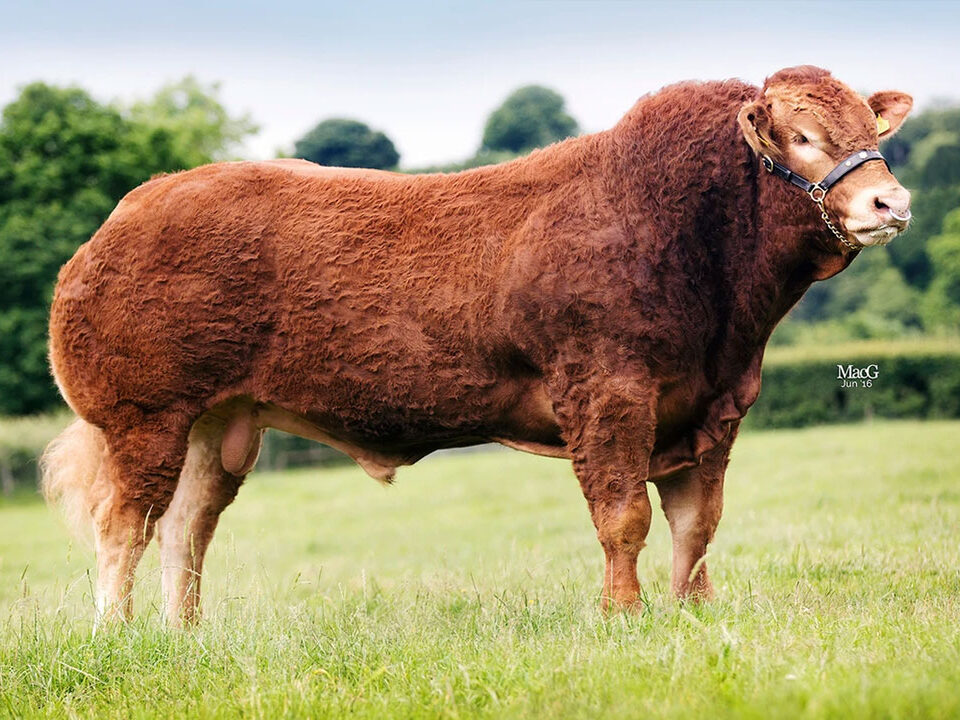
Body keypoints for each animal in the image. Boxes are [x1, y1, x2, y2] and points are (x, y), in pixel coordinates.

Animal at [42, 66, 913, 626]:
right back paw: (119, 636)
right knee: (125, 525)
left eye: (870, 130)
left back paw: (183, 634)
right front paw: (624, 616)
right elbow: (624, 515)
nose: (891, 200)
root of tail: (132, 208)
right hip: (143, 416)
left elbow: (697, 525)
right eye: (801, 136)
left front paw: (694, 614)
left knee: (186, 528)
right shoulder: (607, 392)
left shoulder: (715, 405)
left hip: (219, 423)